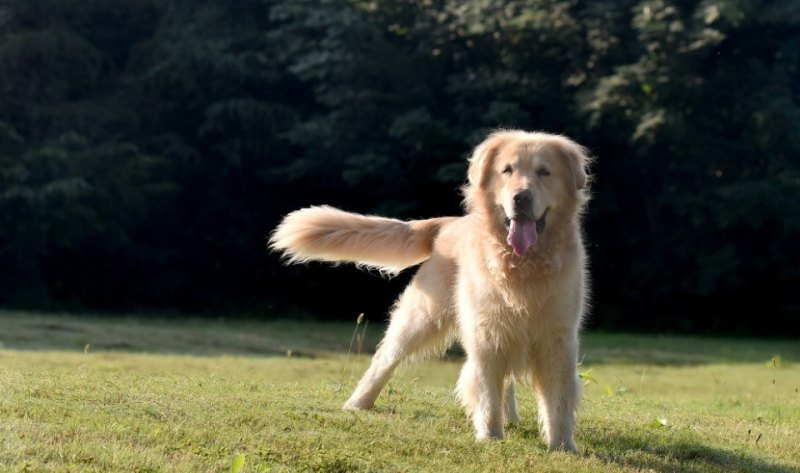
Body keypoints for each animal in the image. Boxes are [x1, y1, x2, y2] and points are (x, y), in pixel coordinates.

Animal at [272, 130, 592, 450]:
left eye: (544, 172)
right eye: (507, 170)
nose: (521, 197)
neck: (522, 265)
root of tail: (449, 223)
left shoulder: (558, 339)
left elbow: (558, 399)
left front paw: (563, 446)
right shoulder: (486, 333)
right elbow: (487, 390)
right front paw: (490, 437)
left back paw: (511, 417)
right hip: (420, 316)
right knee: (385, 358)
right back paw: (358, 402)